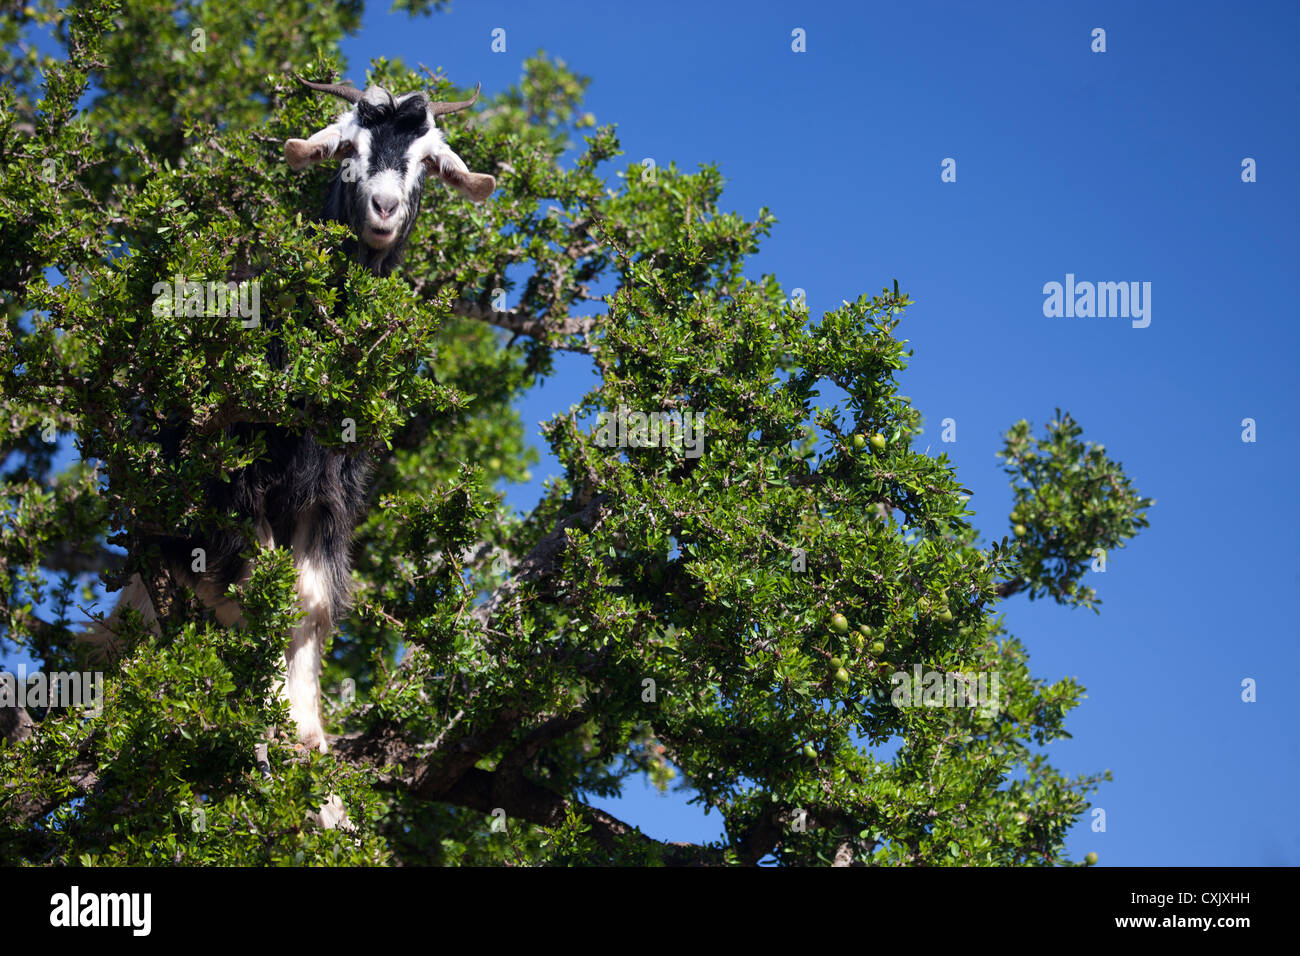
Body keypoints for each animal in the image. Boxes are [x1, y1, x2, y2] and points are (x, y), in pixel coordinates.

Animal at [86, 78, 495, 754]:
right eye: (347, 149)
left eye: (428, 162)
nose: (383, 208)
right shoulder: (235, 482)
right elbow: (260, 589)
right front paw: (265, 721)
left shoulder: (329, 493)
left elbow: (309, 599)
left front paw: (308, 734)